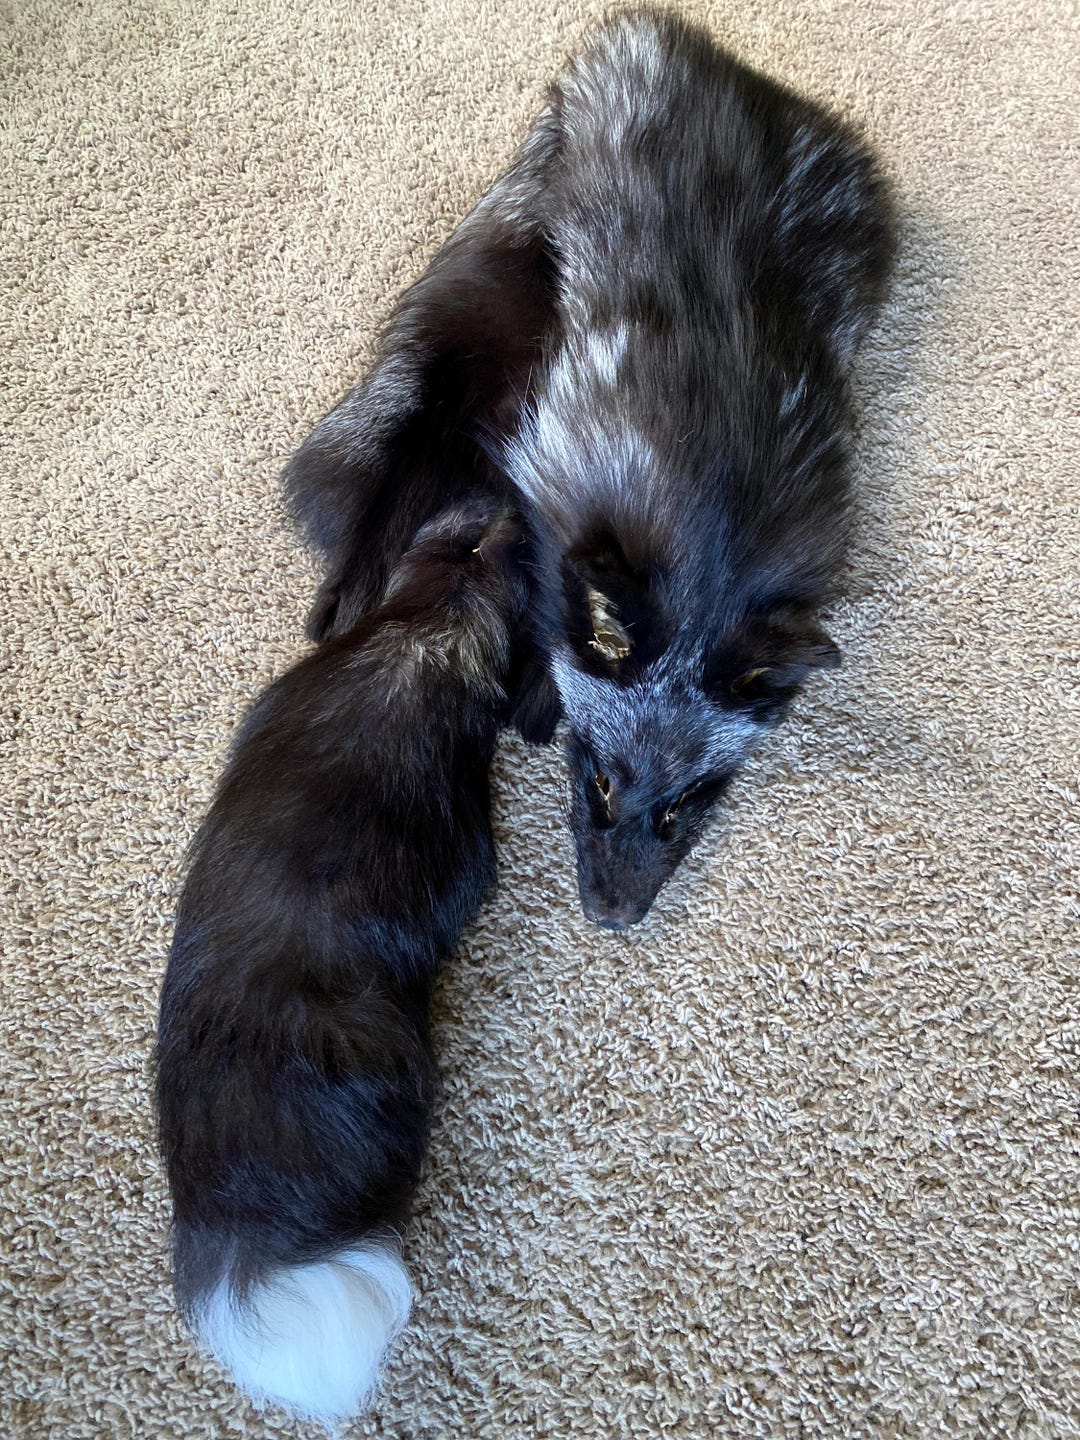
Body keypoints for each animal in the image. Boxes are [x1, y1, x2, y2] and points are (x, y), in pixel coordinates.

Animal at [285, 11, 892, 929]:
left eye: (684, 808)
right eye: (600, 781)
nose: (612, 920)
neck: (713, 524)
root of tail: (745, 75)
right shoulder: (550, 481)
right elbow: (545, 586)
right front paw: (537, 683)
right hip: (482, 324)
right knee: (398, 469)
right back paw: (349, 589)